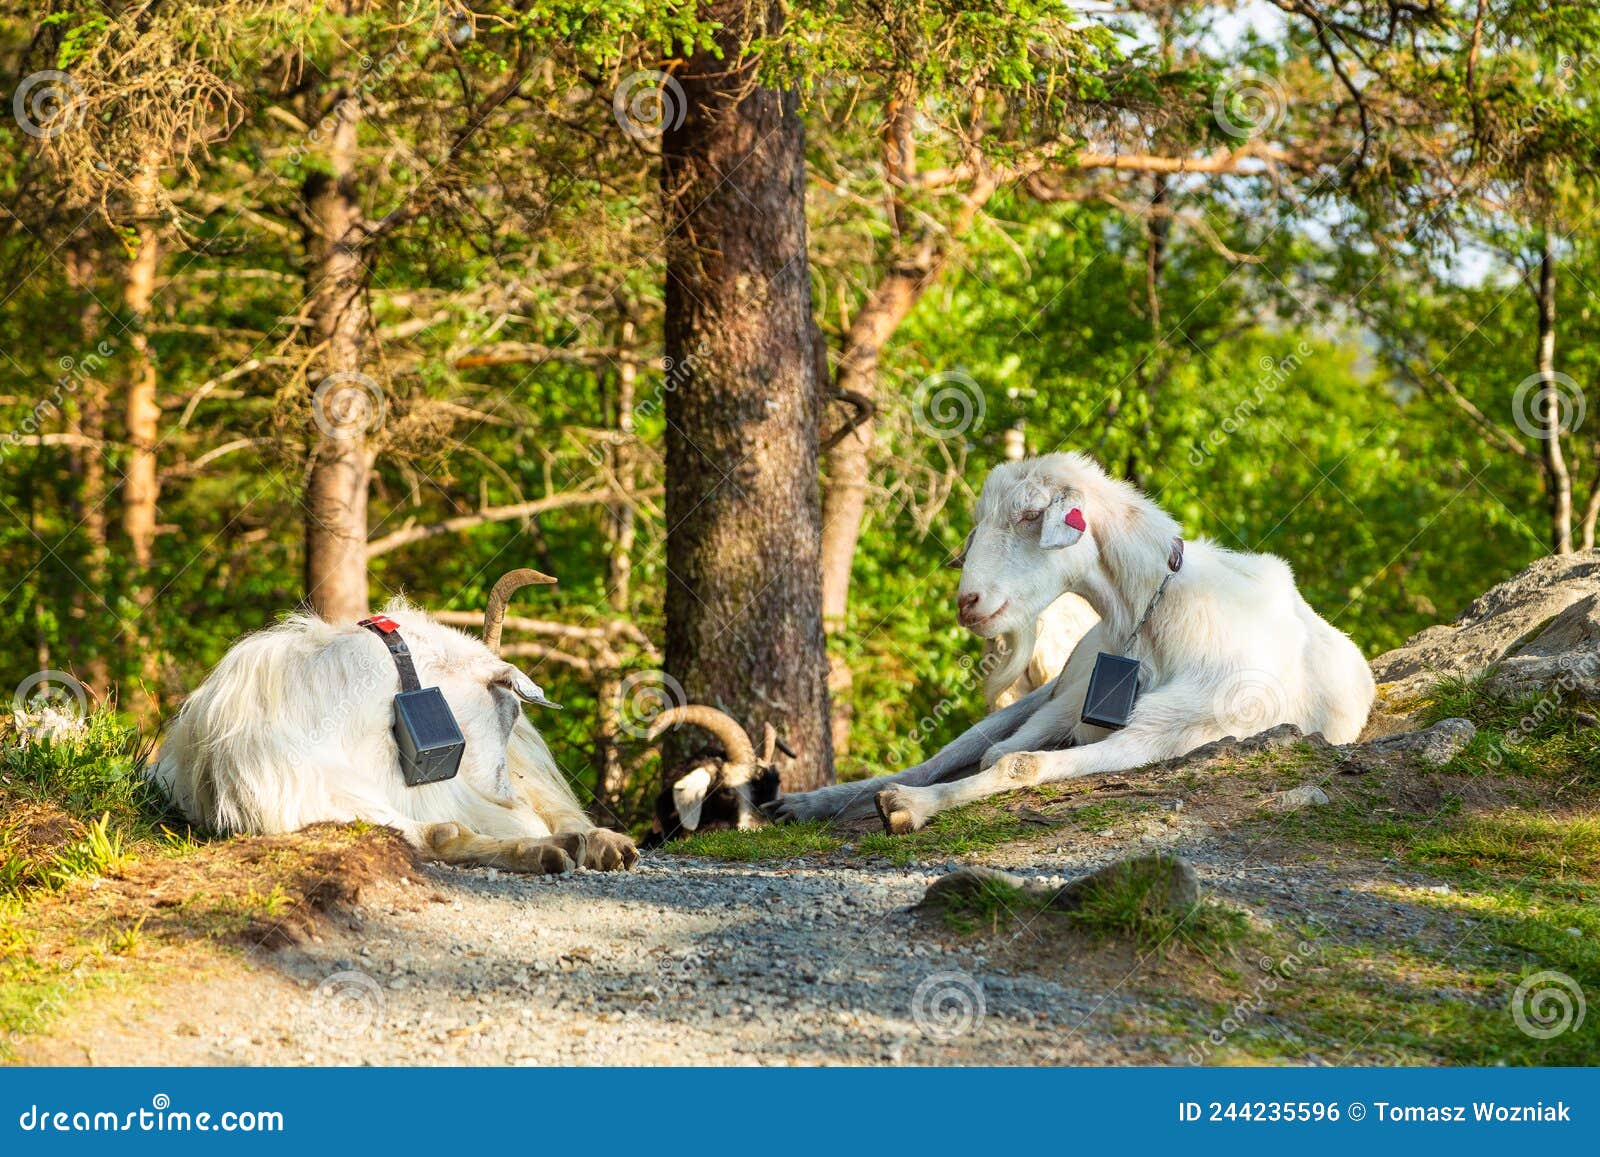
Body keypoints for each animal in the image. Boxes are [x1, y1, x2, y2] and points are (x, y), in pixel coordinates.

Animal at [151, 570, 638, 874]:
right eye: (509, 708)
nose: (507, 793)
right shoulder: (320, 802)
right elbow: (442, 833)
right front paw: (546, 851)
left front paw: (560, 843)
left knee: (557, 810)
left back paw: (606, 843)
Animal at [765, 452, 1374, 833]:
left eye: (1034, 515)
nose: (967, 602)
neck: (1149, 622)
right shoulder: (1069, 701)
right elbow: (997, 753)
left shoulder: (1170, 733)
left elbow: (1017, 764)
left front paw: (910, 808)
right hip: (1055, 682)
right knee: (946, 751)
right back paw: (804, 802)